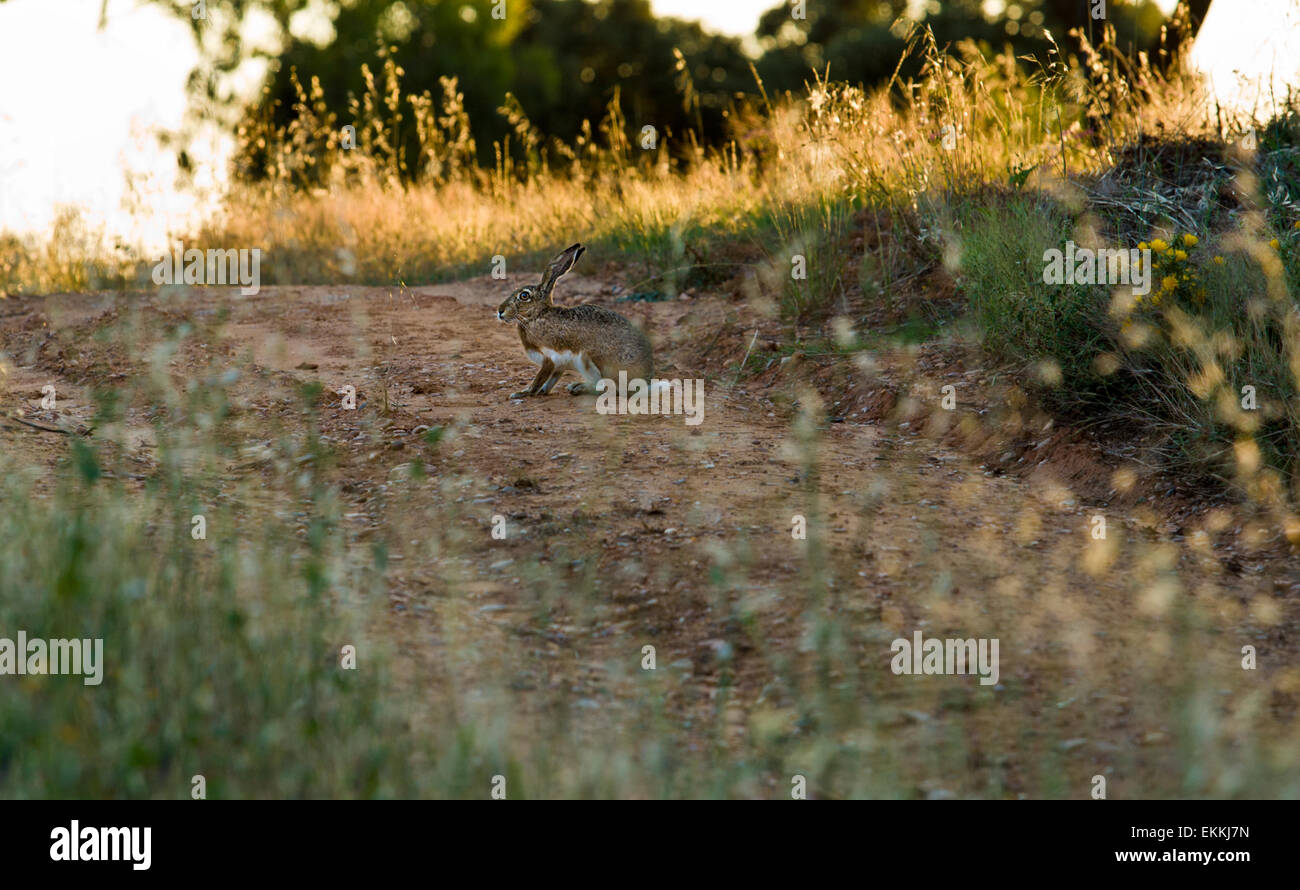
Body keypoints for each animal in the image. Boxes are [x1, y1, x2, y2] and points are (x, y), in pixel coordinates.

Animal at [497, 243, 655, 400]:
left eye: (524, 296)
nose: (500, 311)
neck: (536, 316)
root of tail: (642, 382)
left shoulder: (549, 358)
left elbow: (539, 379)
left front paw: (522, 393)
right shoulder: (559, 365)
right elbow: (553, 379)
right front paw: (543, 391)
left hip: (588, 360)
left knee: (608, 388)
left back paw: (578, 387)